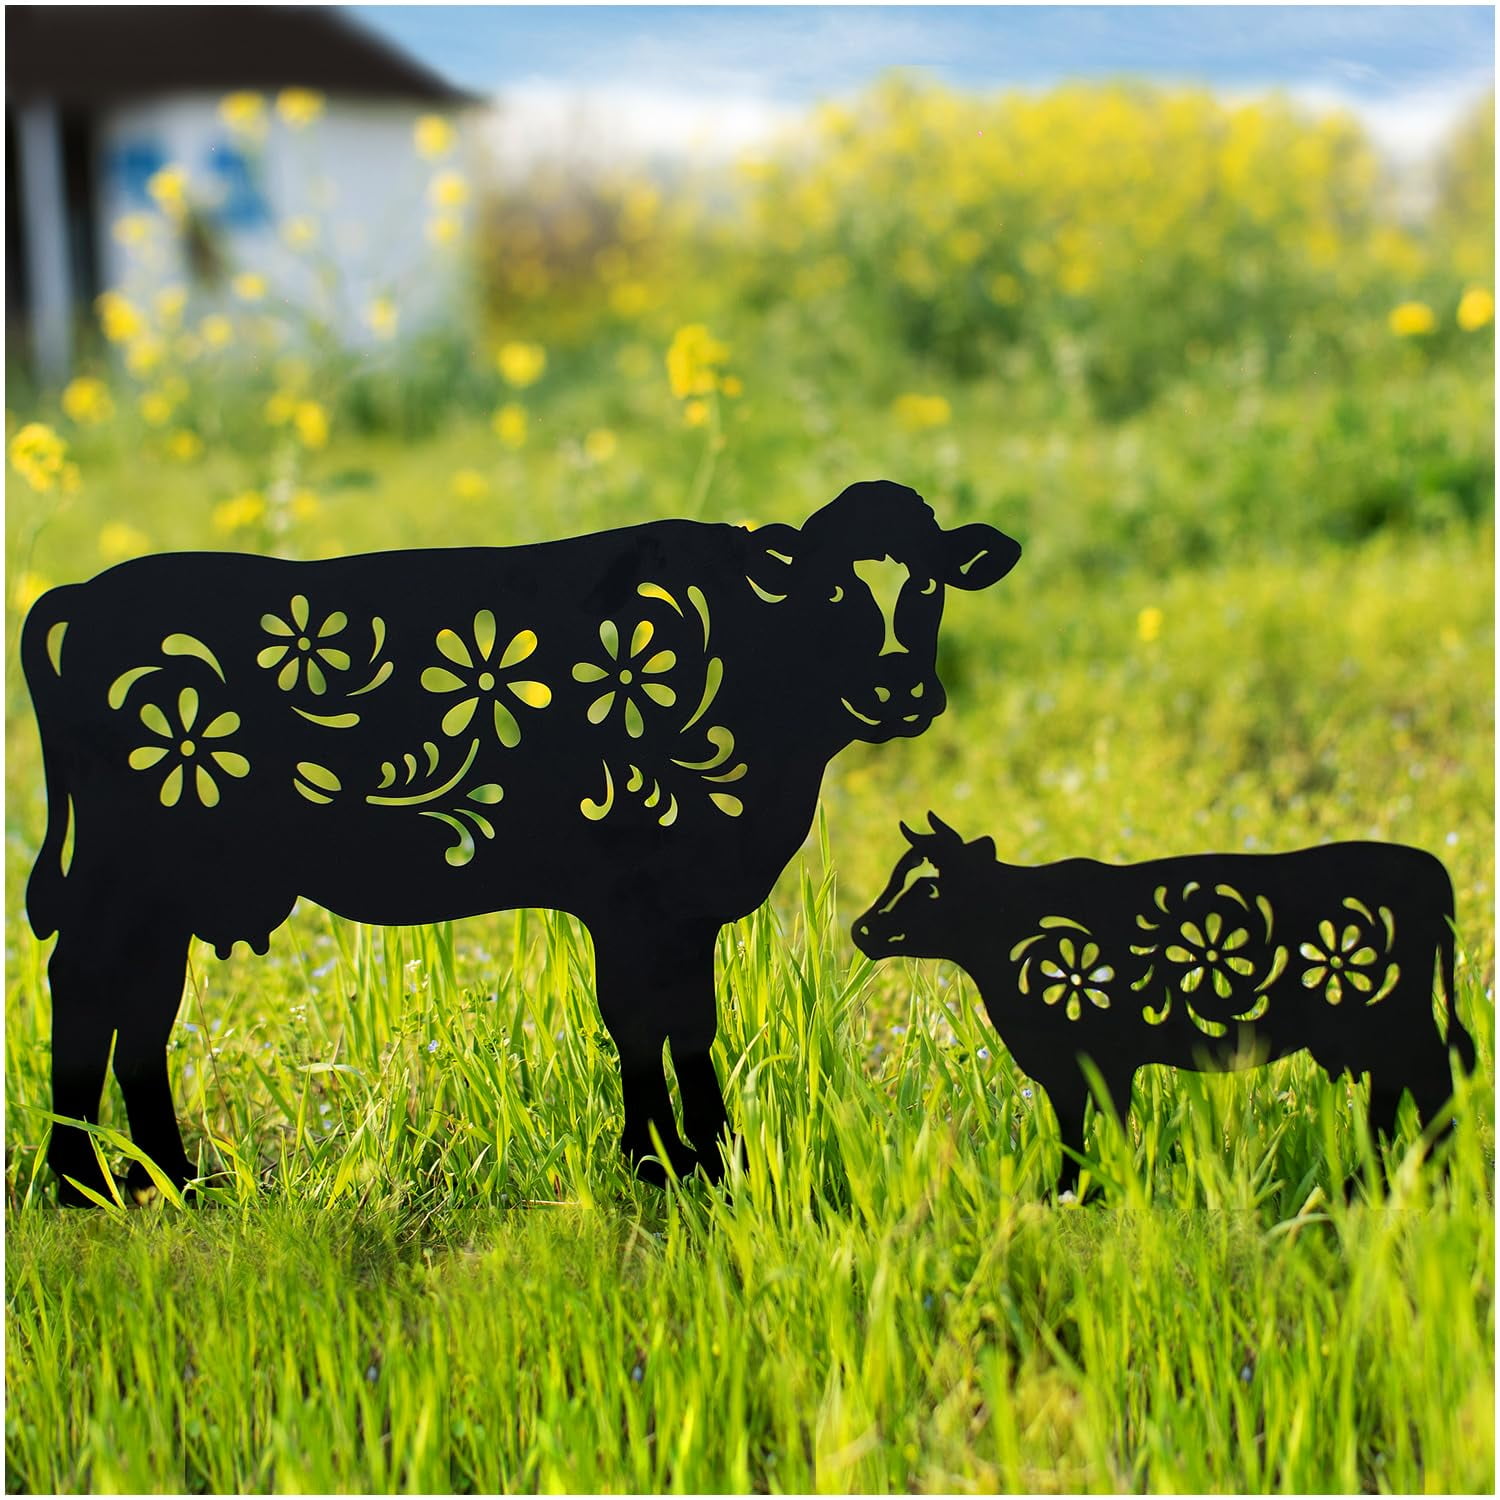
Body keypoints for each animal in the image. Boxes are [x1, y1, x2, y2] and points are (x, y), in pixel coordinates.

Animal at [23, 481, 1020, 1204]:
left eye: (928, 583)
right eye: (834, 586)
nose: (899, 692)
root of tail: (87, 594)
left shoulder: (681, 904)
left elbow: (688, 1021)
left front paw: (708, 1156)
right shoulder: (630, 895)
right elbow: (640, 1020)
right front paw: (660, 1160)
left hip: (162, 898)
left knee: (141, 1011)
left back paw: (166, 1179)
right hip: (126, 879)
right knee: (87, 989)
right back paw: (83, 1183)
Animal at [852, 815, 1476, 1196]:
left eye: (929, 888)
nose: (861, 929)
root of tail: (1430, 866)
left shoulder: (1091, 1057)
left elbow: (1091, 1124)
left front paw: (1079, 1192)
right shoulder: (1076, 1063)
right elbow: (1084, 1125)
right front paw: (1083, 1191)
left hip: (1395, 1021)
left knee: (1431, 1085)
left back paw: (1423, 1179)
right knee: (1394, 1093)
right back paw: (1371, 1183)